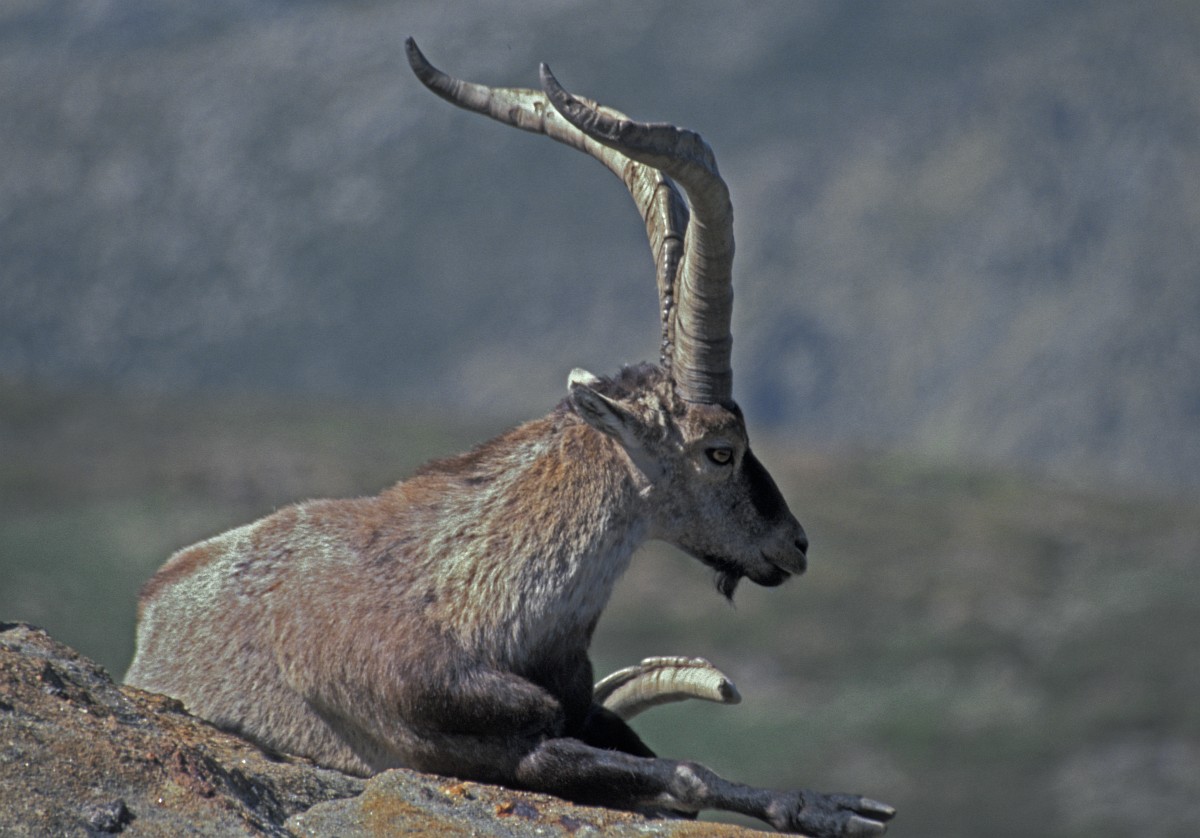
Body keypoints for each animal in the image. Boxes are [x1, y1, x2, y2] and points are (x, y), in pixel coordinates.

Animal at [124, 39, 896, 836]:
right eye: (720, 451)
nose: (794, 544)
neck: (473, 597)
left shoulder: (581, 704)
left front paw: (830, 804)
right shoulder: (485, 747)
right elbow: (680, 775)